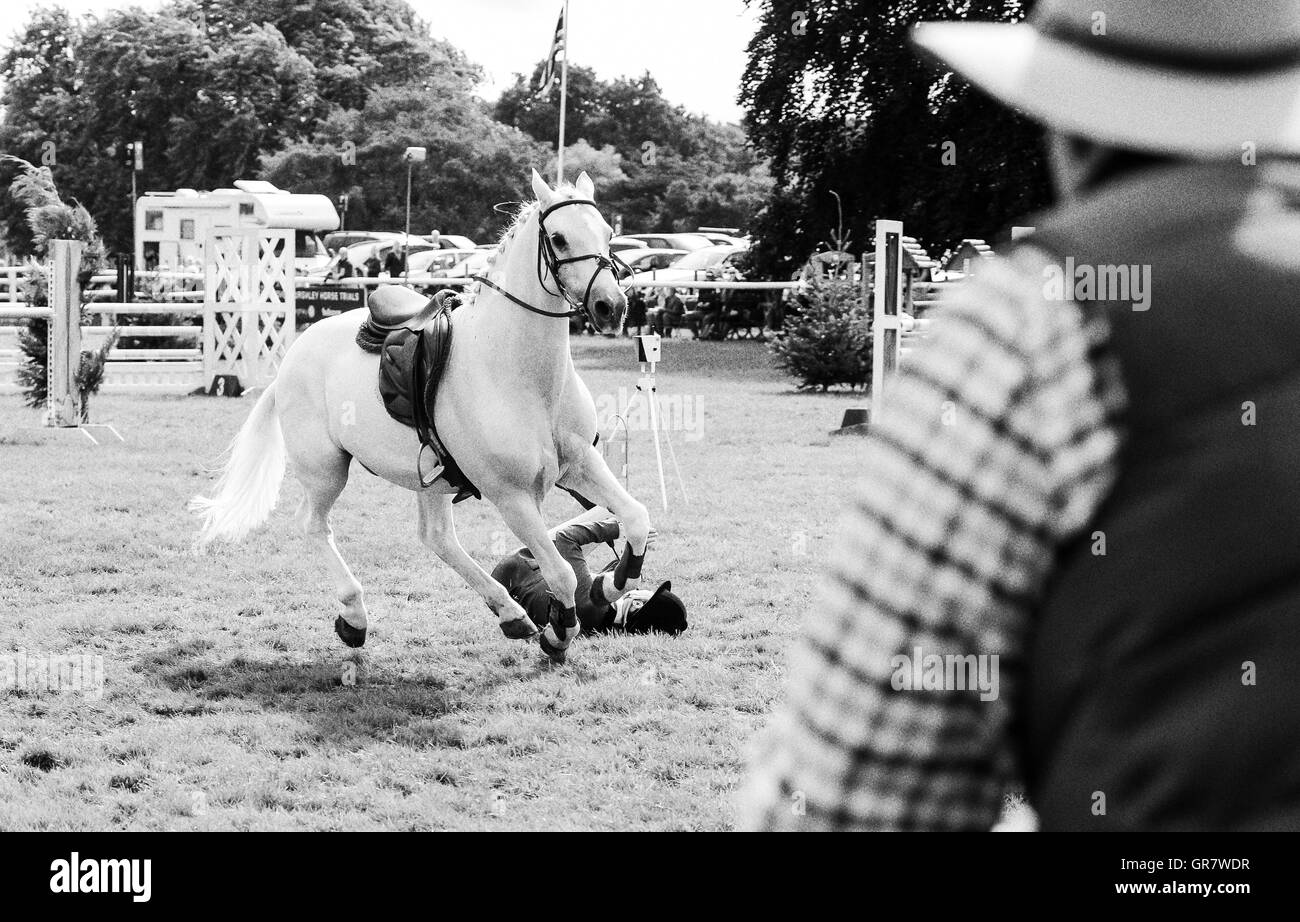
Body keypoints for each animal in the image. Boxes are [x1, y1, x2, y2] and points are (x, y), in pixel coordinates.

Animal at [190, 169, 651, 664]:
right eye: (560, 238)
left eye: (607, 234)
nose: (611, 307)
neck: (521, 374)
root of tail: (293, 355)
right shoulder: (511, 496)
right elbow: (561, 573)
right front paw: (559, 632)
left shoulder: (580, 464)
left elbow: (637, 519)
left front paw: (611, 585)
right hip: (326, 471)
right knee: (314, 525)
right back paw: (355, 616)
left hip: (432, 479)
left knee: (436, 538)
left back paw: (509, 614)